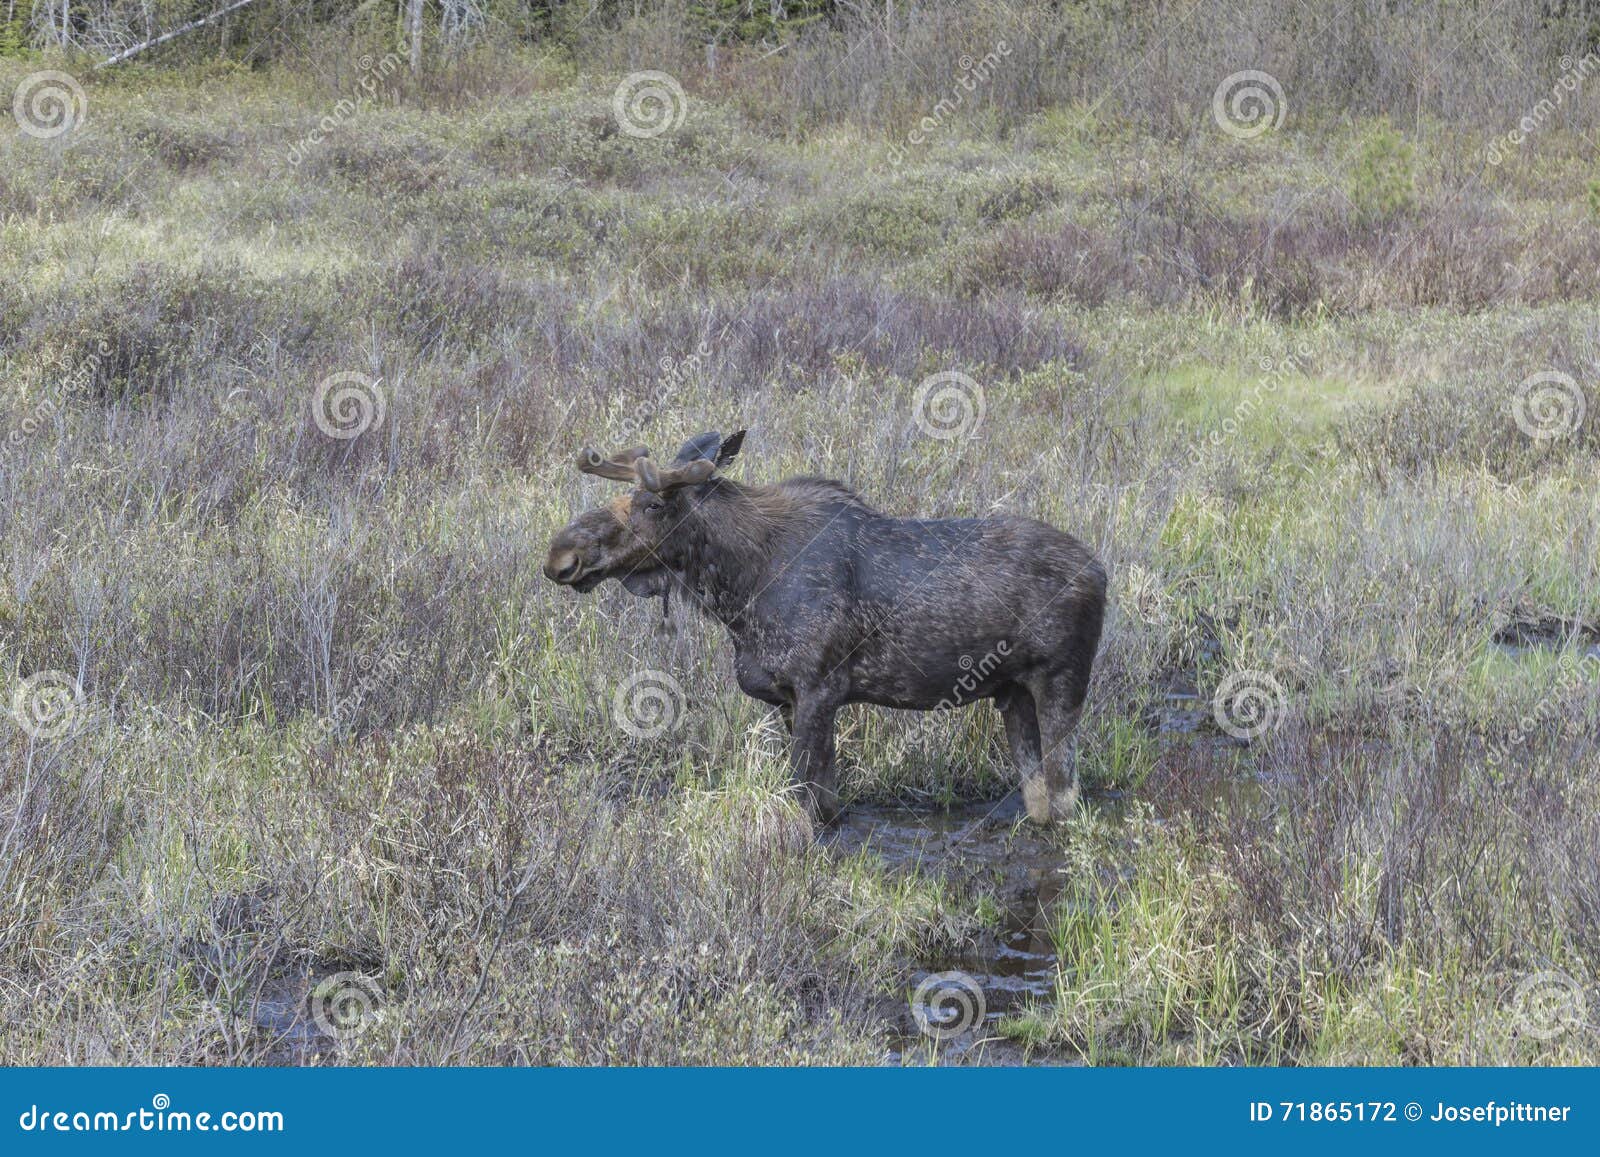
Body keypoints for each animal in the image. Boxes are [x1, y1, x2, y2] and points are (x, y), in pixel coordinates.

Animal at [544, 431, 1106, 826]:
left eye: (655, 503)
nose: (561, 556)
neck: (739, 590)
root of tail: (1102, 572)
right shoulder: (790, 699)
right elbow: (827, 804)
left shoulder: (818, 689)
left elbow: (807, 802)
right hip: (1013, 693)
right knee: (1040, 800)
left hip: (1061, 681)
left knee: (1065, 799)